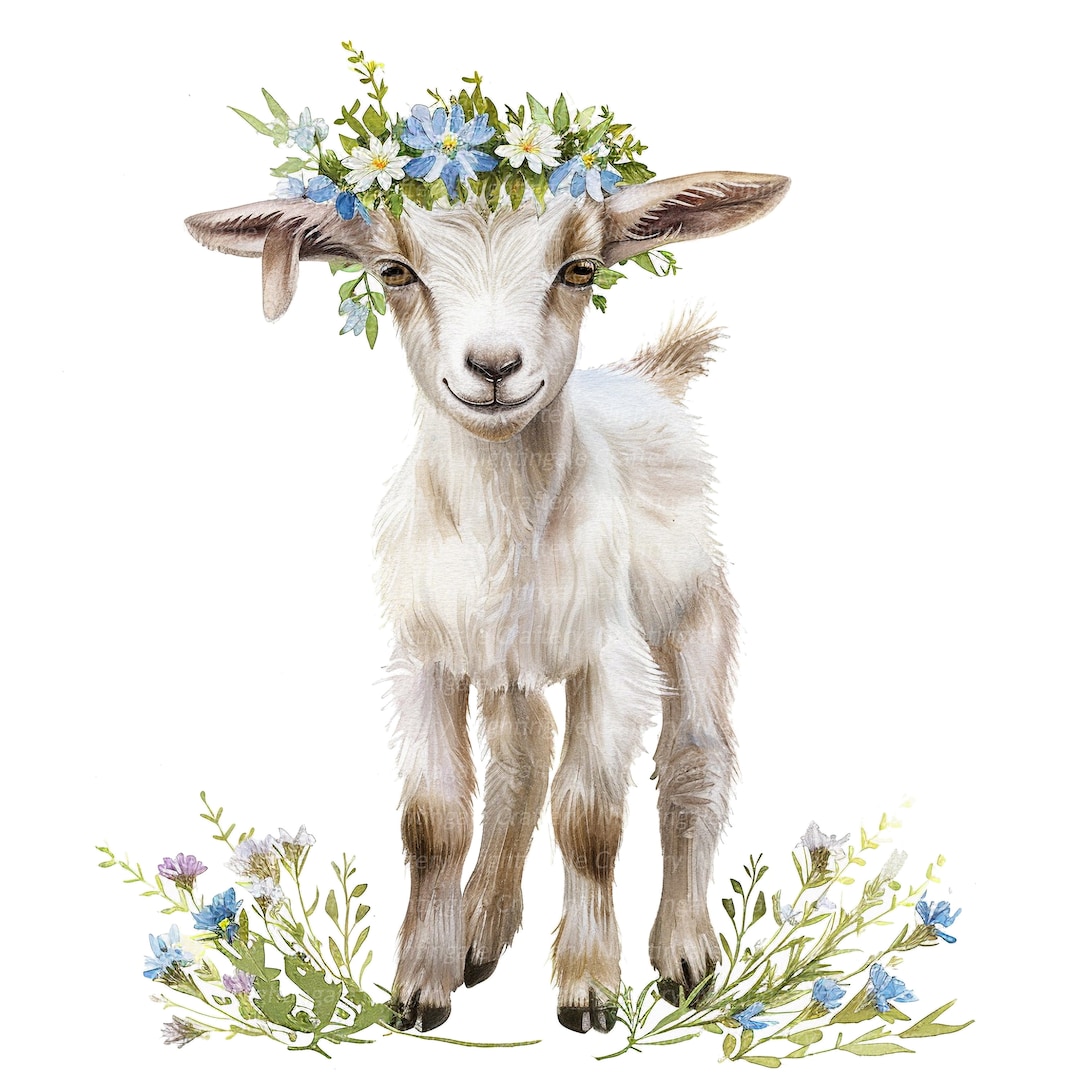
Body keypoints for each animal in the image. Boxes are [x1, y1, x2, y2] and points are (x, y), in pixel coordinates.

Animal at [185, 169, 789, 1033]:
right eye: (394, 271)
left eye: (580, 269)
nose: (495, 367)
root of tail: (646, 375)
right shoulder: (425, 660)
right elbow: (434, 820)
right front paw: (418, 987)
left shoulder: (610, 660)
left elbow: (589, 821)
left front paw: (588, 988)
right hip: (509, 661)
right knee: (521, 763)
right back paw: (480, 928)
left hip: (694, 609)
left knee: (695, 760)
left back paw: (683, 951)